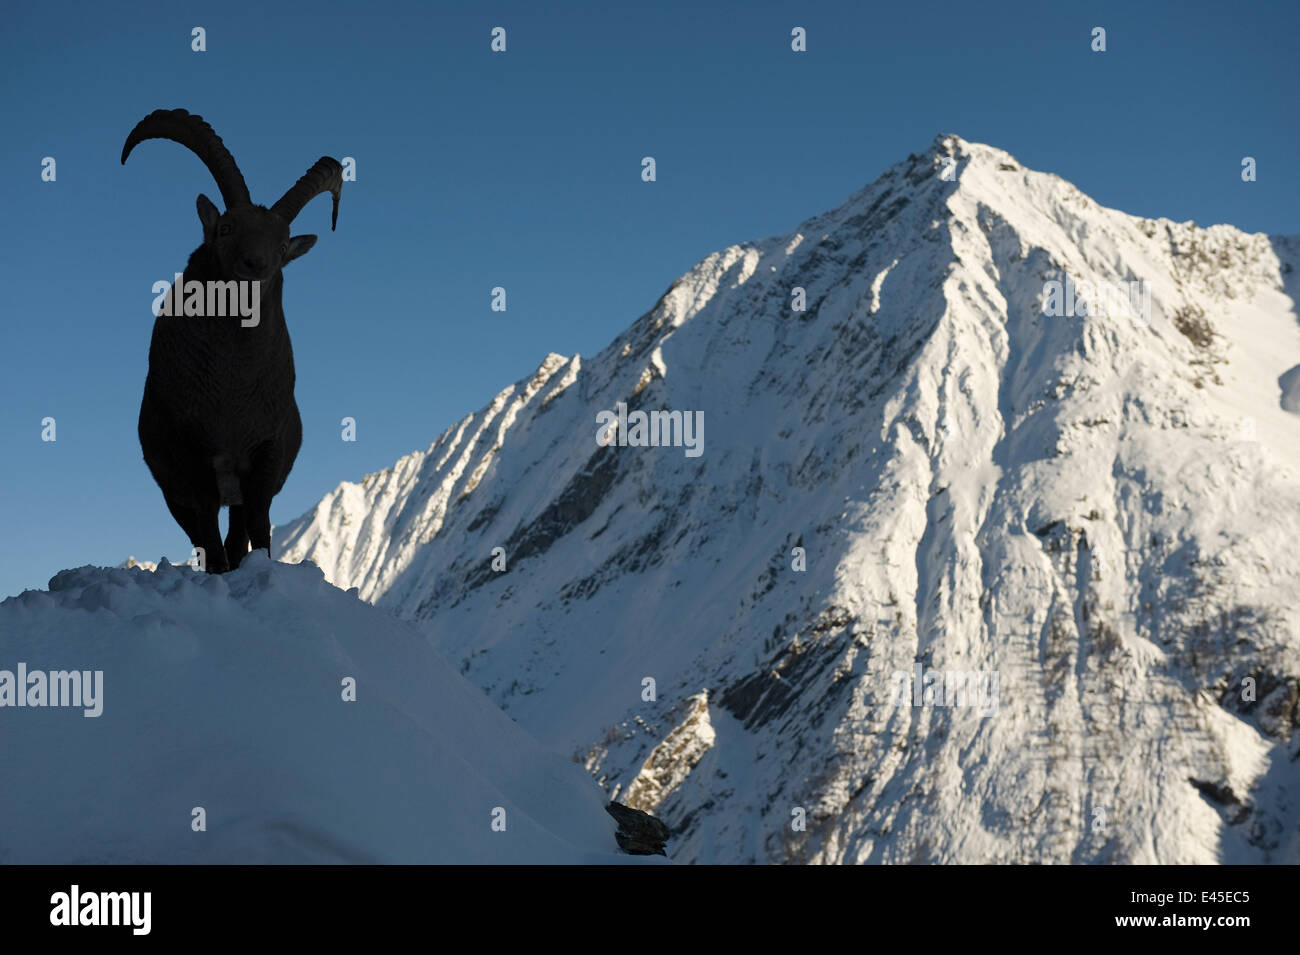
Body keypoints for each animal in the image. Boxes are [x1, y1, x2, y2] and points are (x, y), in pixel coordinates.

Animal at [123, 108, 342, 572]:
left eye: (283, 245)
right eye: (225, 227)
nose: (254, 266)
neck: (231, 392)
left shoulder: (264, 456)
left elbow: (258, 524)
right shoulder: (191, 453)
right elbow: (208, 530)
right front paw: (220, 573)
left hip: (236, 489)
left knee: (238, 529)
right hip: (173, 493)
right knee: (202, 534)